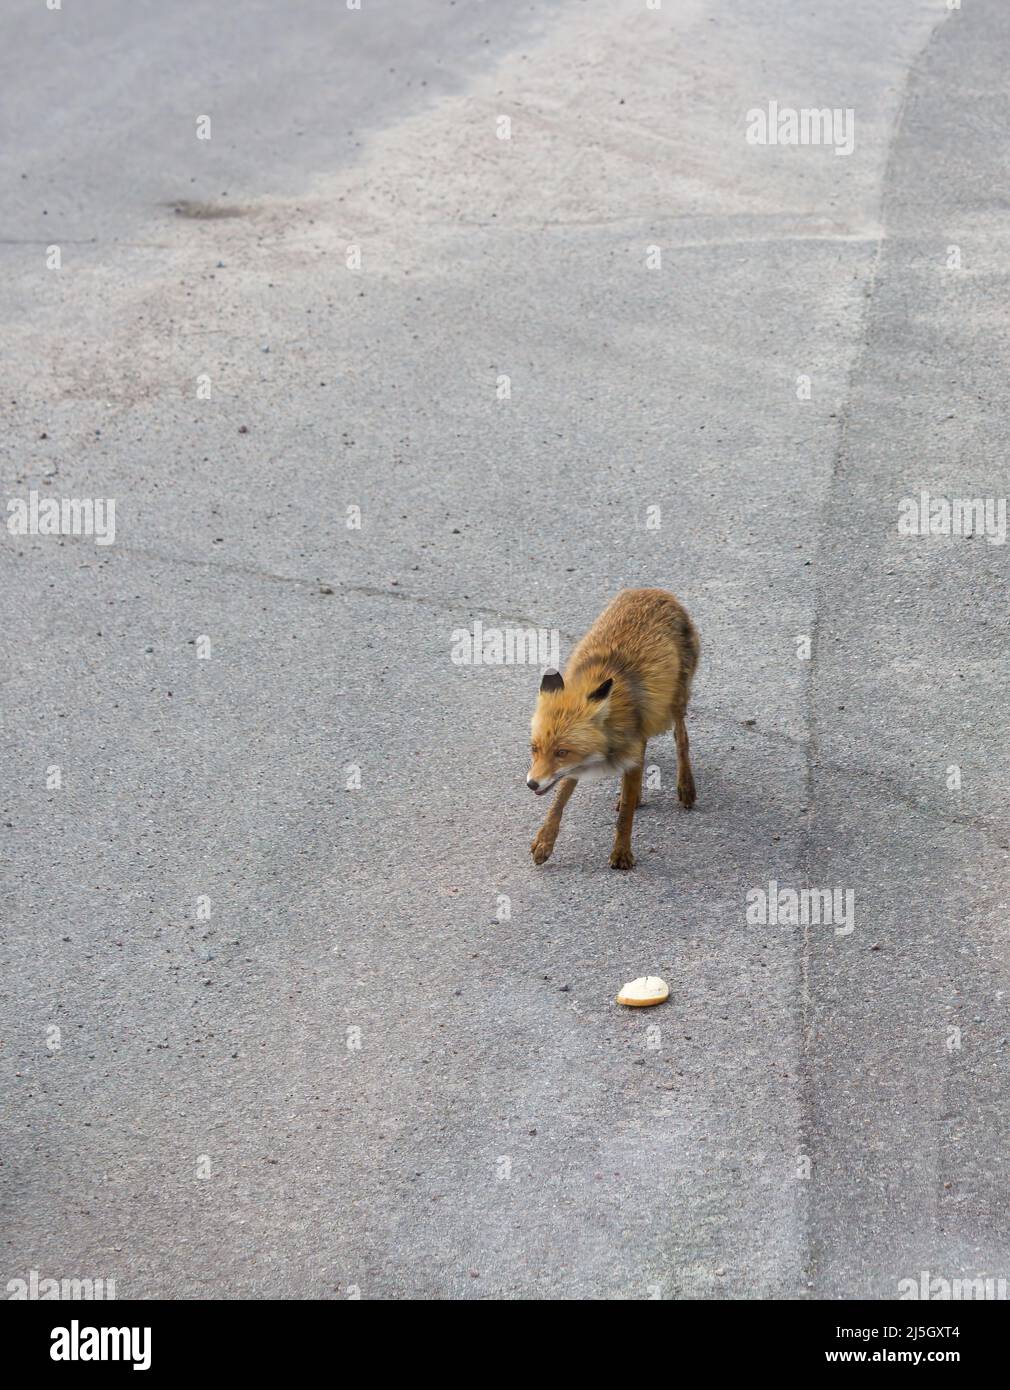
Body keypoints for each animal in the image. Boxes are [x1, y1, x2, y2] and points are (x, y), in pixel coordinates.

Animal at [526, 588, 699, 870]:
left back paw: (686, 786)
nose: (531, 784)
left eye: (562, 752)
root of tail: (655, 590)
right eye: (534, 749)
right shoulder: (579, 764)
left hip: (675, 701)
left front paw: (621, 853)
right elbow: (559, 802)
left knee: (681, 738)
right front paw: (544, 842)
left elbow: (625, 816)